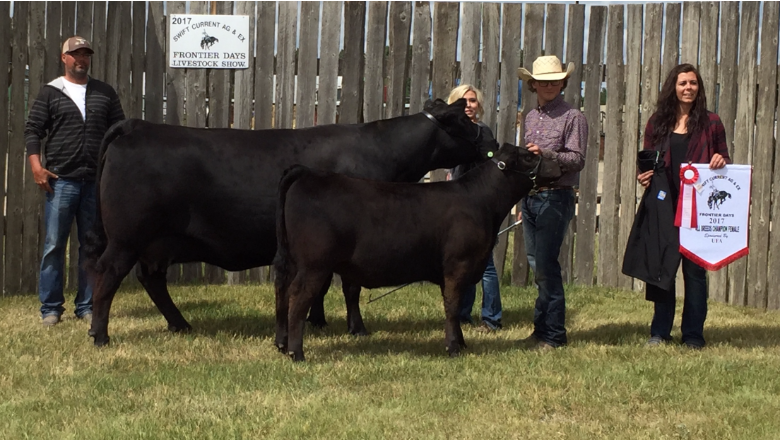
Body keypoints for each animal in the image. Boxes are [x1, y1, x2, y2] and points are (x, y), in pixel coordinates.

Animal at [85, 99, 496, 347]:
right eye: (465, 119)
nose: (492, 139)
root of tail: (136, 125)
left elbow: (325, 286)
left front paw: (318, 321)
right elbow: (350, 287)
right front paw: (356, 328)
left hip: (157, 242)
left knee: (151, 279)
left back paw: (180, 324)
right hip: (126, 237)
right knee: (107, 273)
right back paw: (100, 334)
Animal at [273, 142, 563, 361]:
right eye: (528, 157)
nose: (559, 166)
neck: (482, 202)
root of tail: (309, 174)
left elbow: (454, 306)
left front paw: (461, 343)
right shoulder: (458, 265)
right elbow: (452, 307)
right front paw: (453, 348)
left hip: (292, 261)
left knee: (283, 292)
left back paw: (282, 344)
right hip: (314, 265)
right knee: (298, 297)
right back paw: (297, 353)